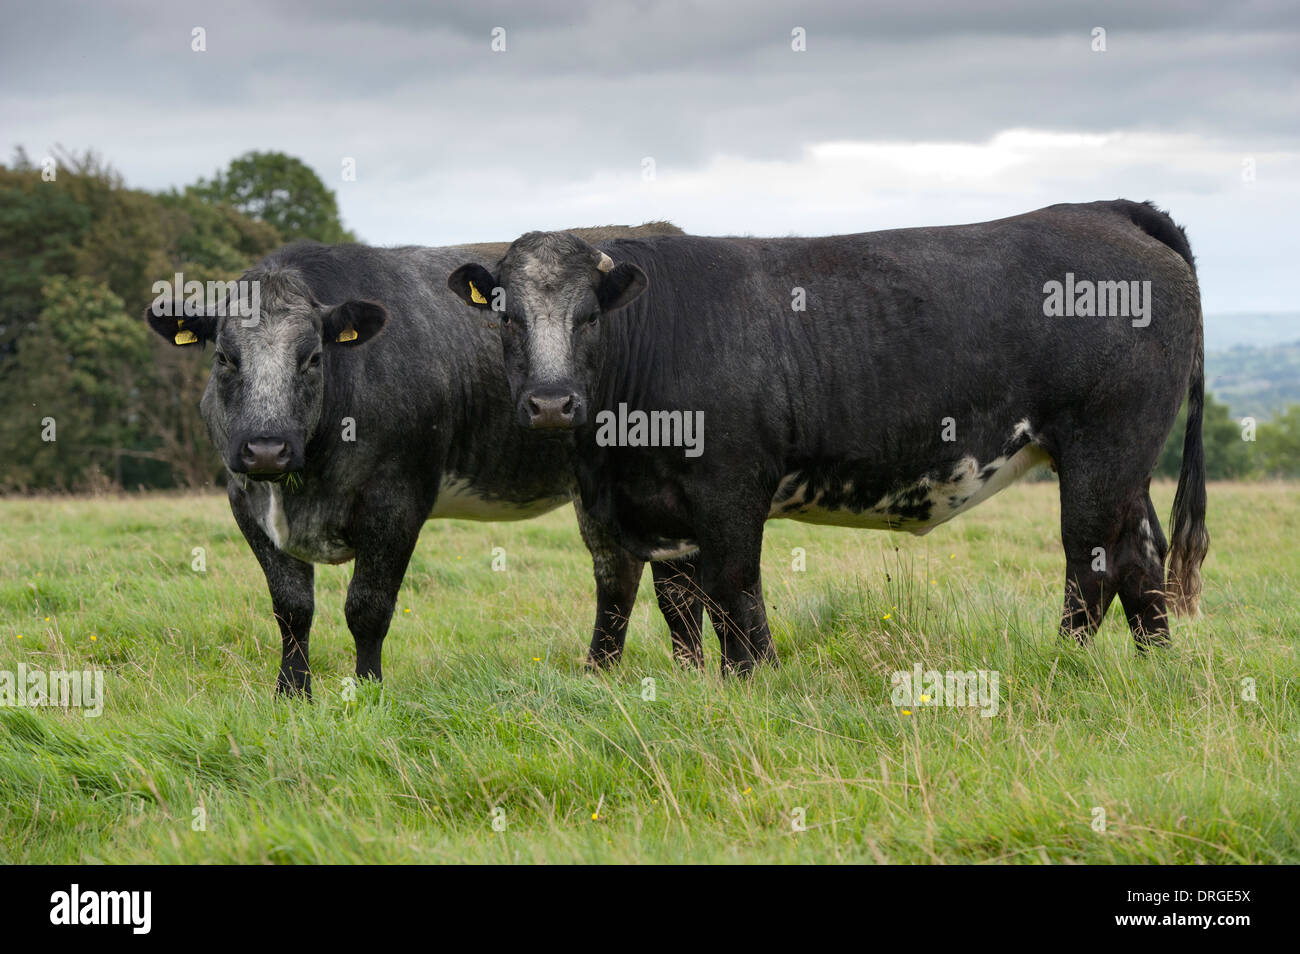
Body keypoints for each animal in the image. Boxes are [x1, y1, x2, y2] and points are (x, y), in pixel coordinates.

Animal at [144, 223, 702, 696]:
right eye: (224, 358)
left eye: (314, 357)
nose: (266, 447)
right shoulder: (245, 500)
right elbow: (292, 608)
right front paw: (292, 694)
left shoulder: (399, 499)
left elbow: (367, 607)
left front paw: (368, 692)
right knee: (626, 574)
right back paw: (610, 674)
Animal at [449, 200, 1210, 674]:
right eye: (506, 316)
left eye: (589, 318)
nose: (552, 402)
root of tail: (1104, 208)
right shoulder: (642, 507)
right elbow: (665, 601)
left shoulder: (728, 488)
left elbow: (734, 590)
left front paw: (752, 678)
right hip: (1127, 463)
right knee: (1142, 557)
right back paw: (1157, 667)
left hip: (1102, 450)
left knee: (1095, 563)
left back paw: (1063, 664)